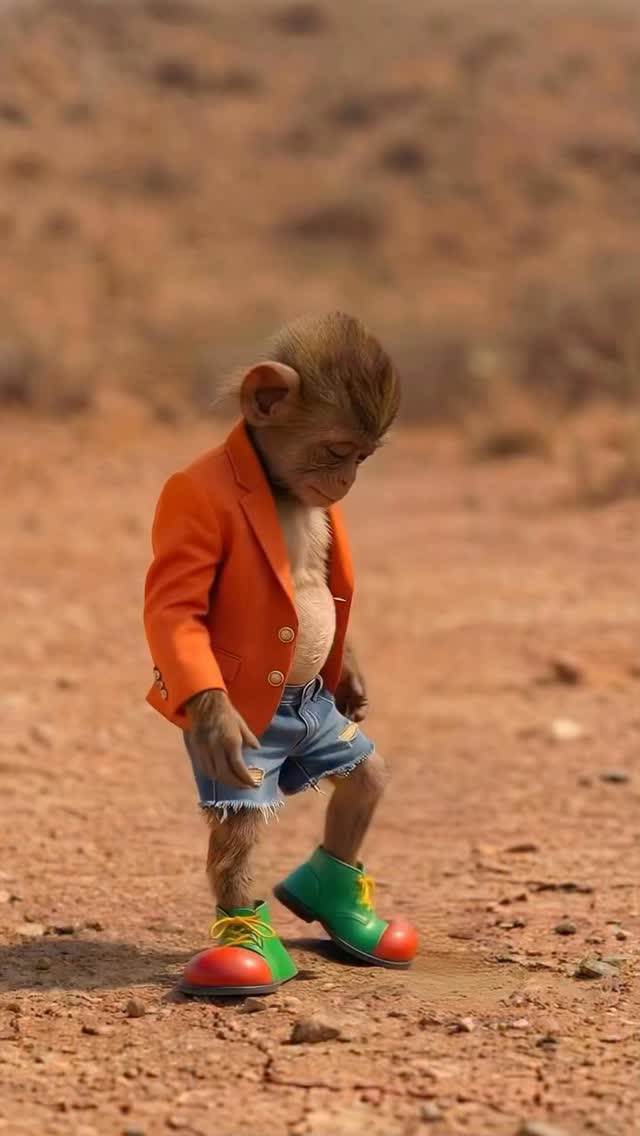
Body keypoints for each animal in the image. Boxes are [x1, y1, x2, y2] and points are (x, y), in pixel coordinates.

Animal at [144, 311, 418, 996]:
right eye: (336, 450)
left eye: (362, 458)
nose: (346, 482)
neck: (279, 488)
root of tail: (291, 710)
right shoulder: (189, 510)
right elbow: (176, 608)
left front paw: (354, 678)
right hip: (250, 764)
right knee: (237, 834)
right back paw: (243, 952)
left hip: (324, 734)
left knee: (364, 780)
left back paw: (336, 910)